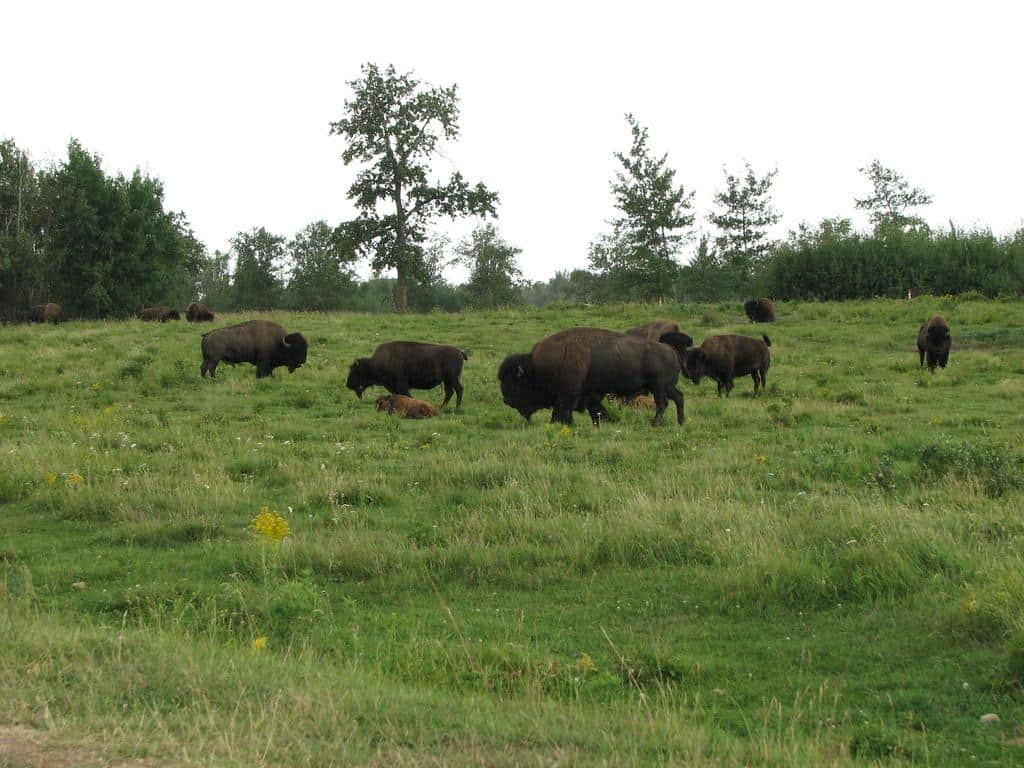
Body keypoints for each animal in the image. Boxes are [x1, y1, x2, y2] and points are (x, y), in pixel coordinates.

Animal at [498, 327, 687, 426]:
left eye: (515, 382)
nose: (506, 400)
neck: (536, 368)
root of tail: (670, 350)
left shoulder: (568, 395)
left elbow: (562, 411)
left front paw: (560, 424)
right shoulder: (589, 395)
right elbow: (596, 410)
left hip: (658, 387)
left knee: (663, 403)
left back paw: (654, 423)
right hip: (666, 387)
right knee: (679, 397)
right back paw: (681, 422)